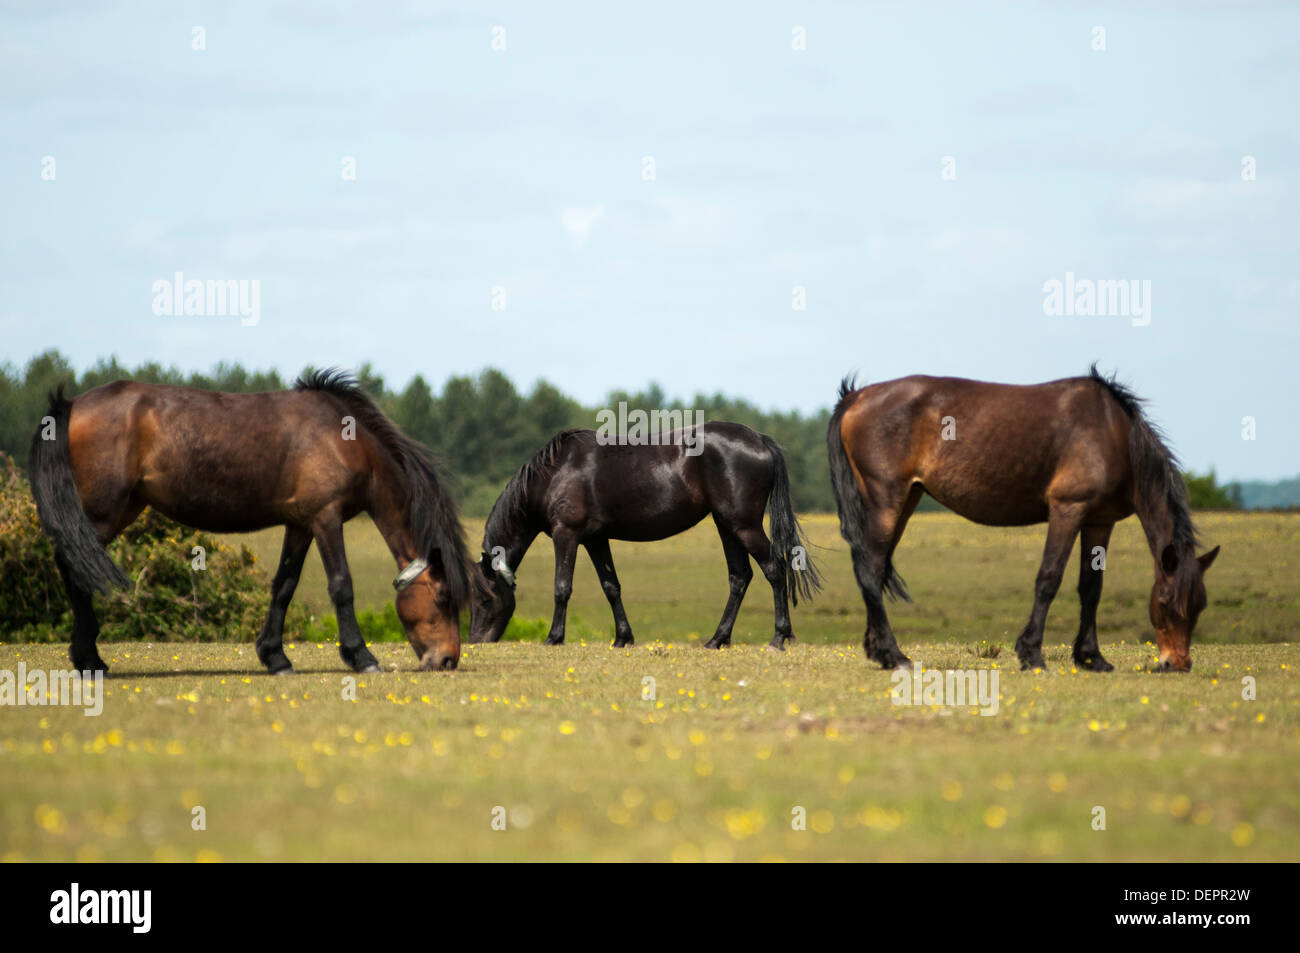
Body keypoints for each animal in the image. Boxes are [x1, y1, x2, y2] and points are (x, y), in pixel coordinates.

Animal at [28, 370, 471, 674]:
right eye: (443, 596)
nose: (448, 660)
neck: (347, 439)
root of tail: (71, 405)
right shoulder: (326, 519)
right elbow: (342, 586)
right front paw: (361, 656)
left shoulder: (301, 524)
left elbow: (284, 586)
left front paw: (275, 657)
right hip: (102, 512)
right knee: (72, 565)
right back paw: (90, 660)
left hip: (125, 507)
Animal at [467, 423, 821, 648]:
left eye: (483, 600)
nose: (474, 641)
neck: (554, 473)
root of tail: (759, 440)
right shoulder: (595, 539)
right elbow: (611, 587)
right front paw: (622, 638)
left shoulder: (565, 534)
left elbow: (562, 588)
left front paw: (554, 637)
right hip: (727, 525)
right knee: (740, 577)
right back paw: (717, 639)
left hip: (744, 525)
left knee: (774, 569)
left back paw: (778, 637)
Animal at [827, 365, 1219, 673]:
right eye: (1165, 602)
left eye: (1200, 605)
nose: (1177, 663)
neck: (1113, 433)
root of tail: (857, 397)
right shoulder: (1067, 509)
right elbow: (1049, 579)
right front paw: (1031, 654)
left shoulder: (1098, 522)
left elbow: (1091, 588)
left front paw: (1091, 657)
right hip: (886, 500)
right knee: (870, 570)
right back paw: (894, 655)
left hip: (906, 499)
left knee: (875, 570)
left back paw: (879, 650)